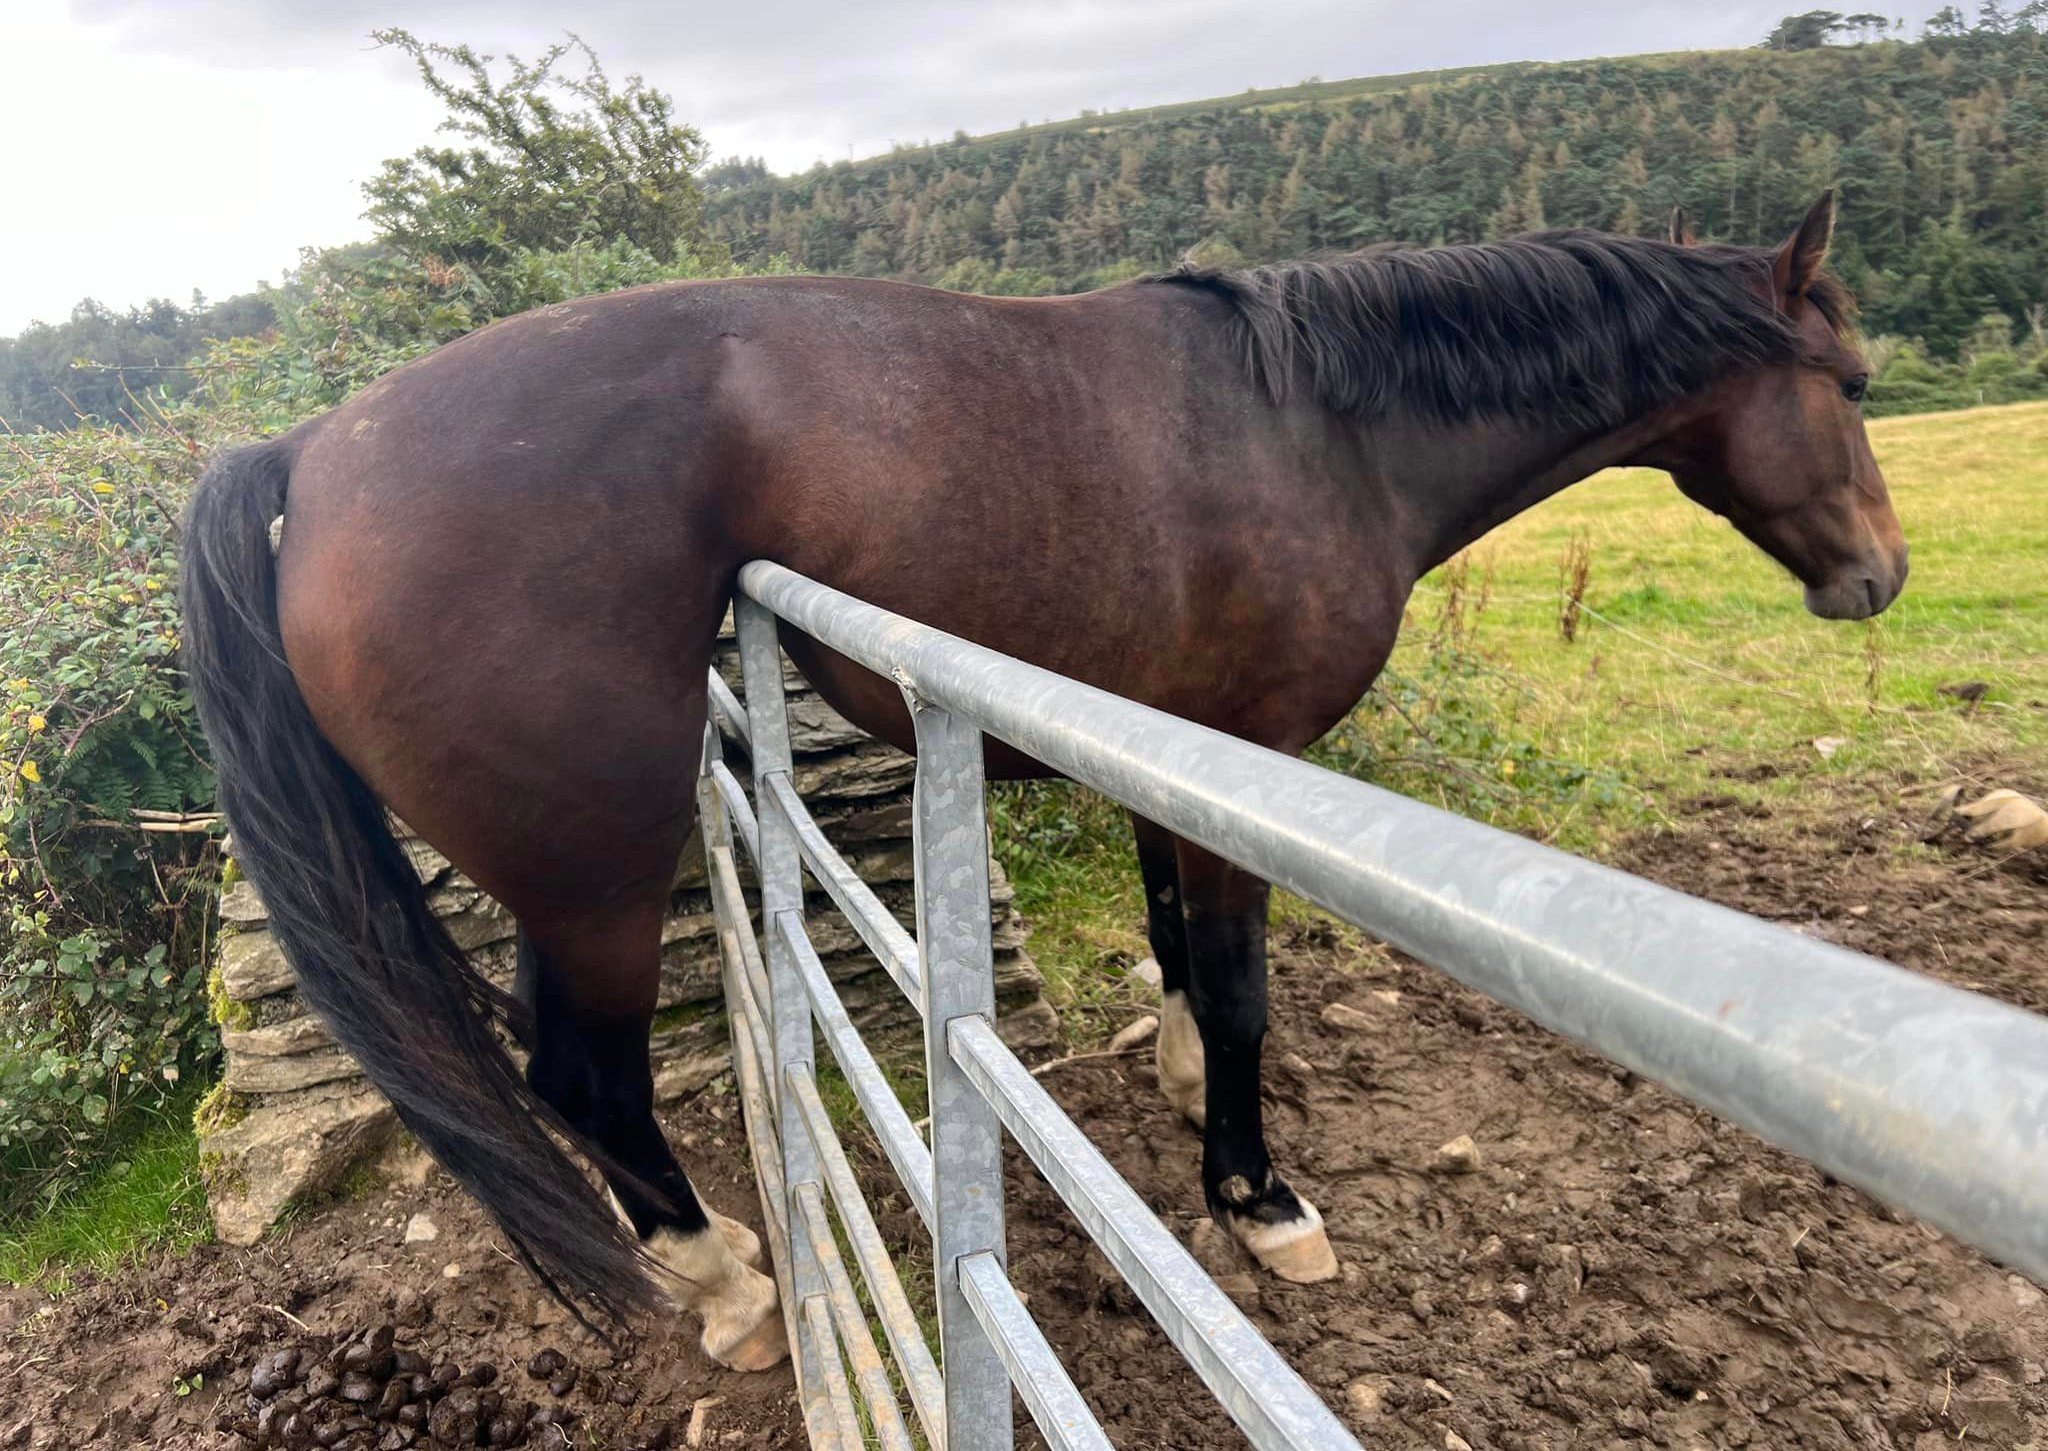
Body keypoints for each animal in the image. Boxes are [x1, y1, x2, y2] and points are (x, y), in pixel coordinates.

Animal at [180, 190, 1905, 1370]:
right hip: (597, 874)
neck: (1318, 425)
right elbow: (1241, 978)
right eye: (1857, 383)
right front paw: (1257, 1194)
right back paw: (727, 1282)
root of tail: (316, 449)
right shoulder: (1249, 757)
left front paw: (1181, 1079)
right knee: (588, 1086)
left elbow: (1180, 946)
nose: (1880, 578)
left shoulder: (1163, 744)